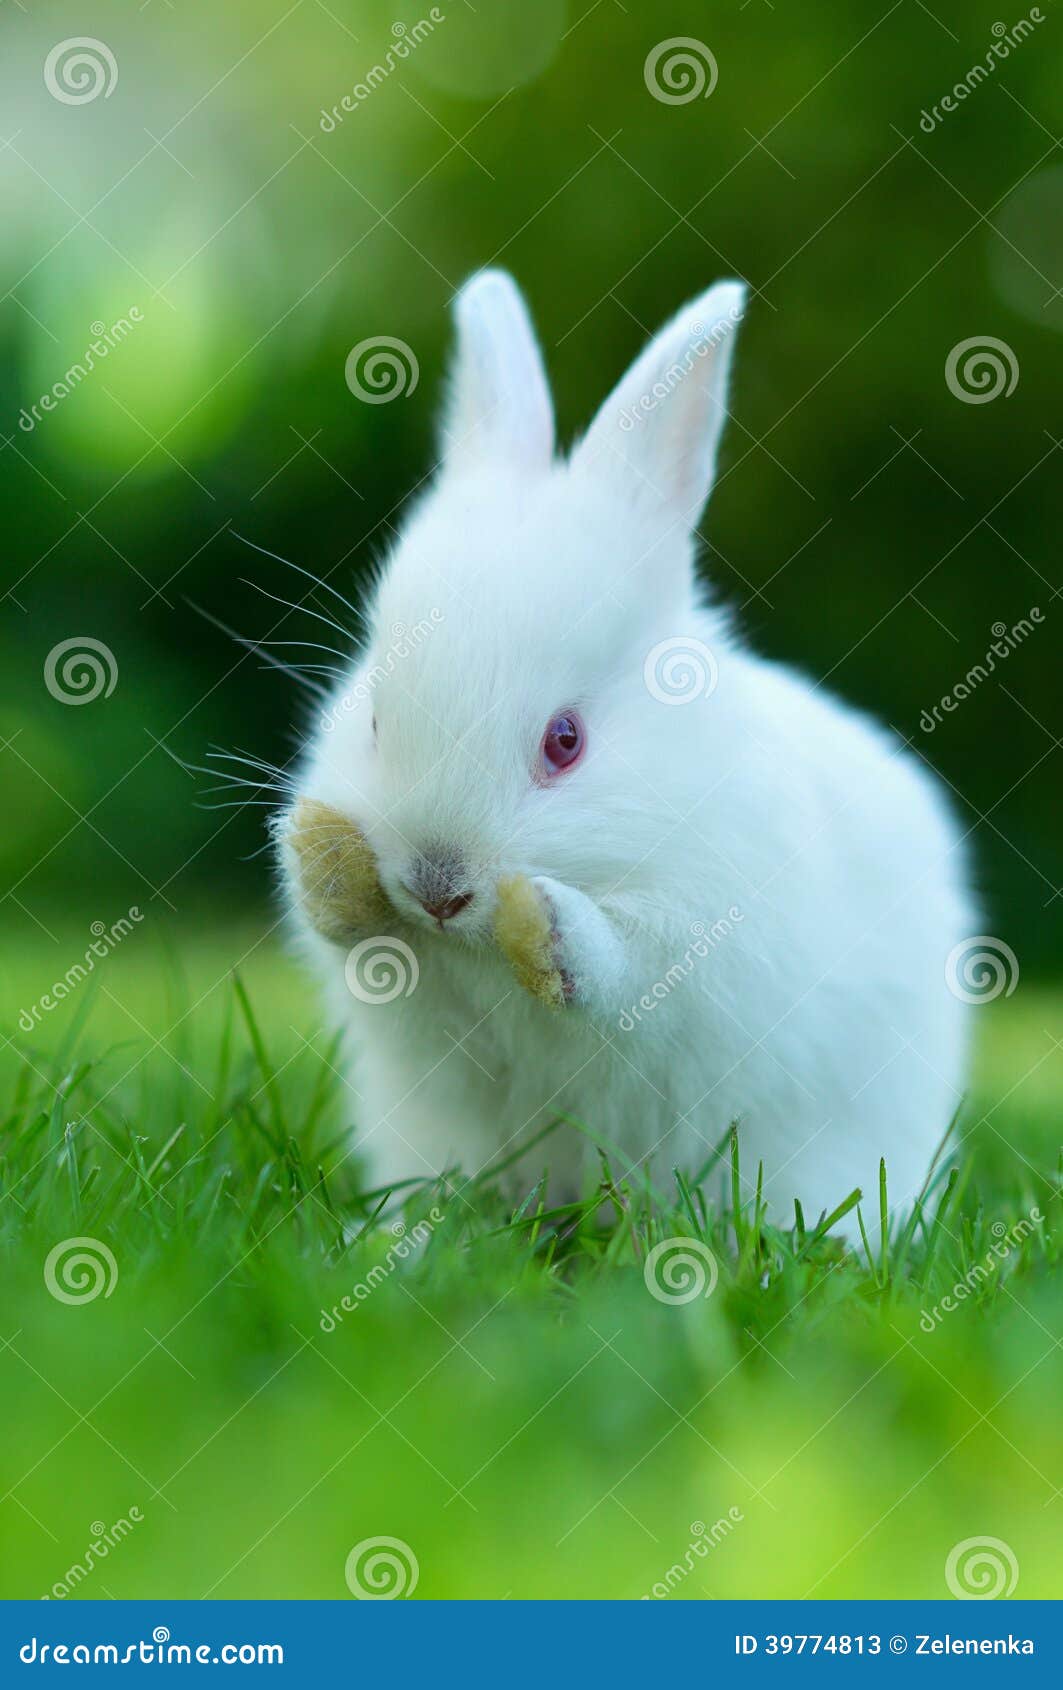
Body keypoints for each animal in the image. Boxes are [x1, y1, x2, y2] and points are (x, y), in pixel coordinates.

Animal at [277, 269, 975, 1237]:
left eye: (564, 743)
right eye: (375, 718)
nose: (437, 889)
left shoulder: (695, 942)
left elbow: (619, 969)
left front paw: (548, 927)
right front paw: (327, 863)